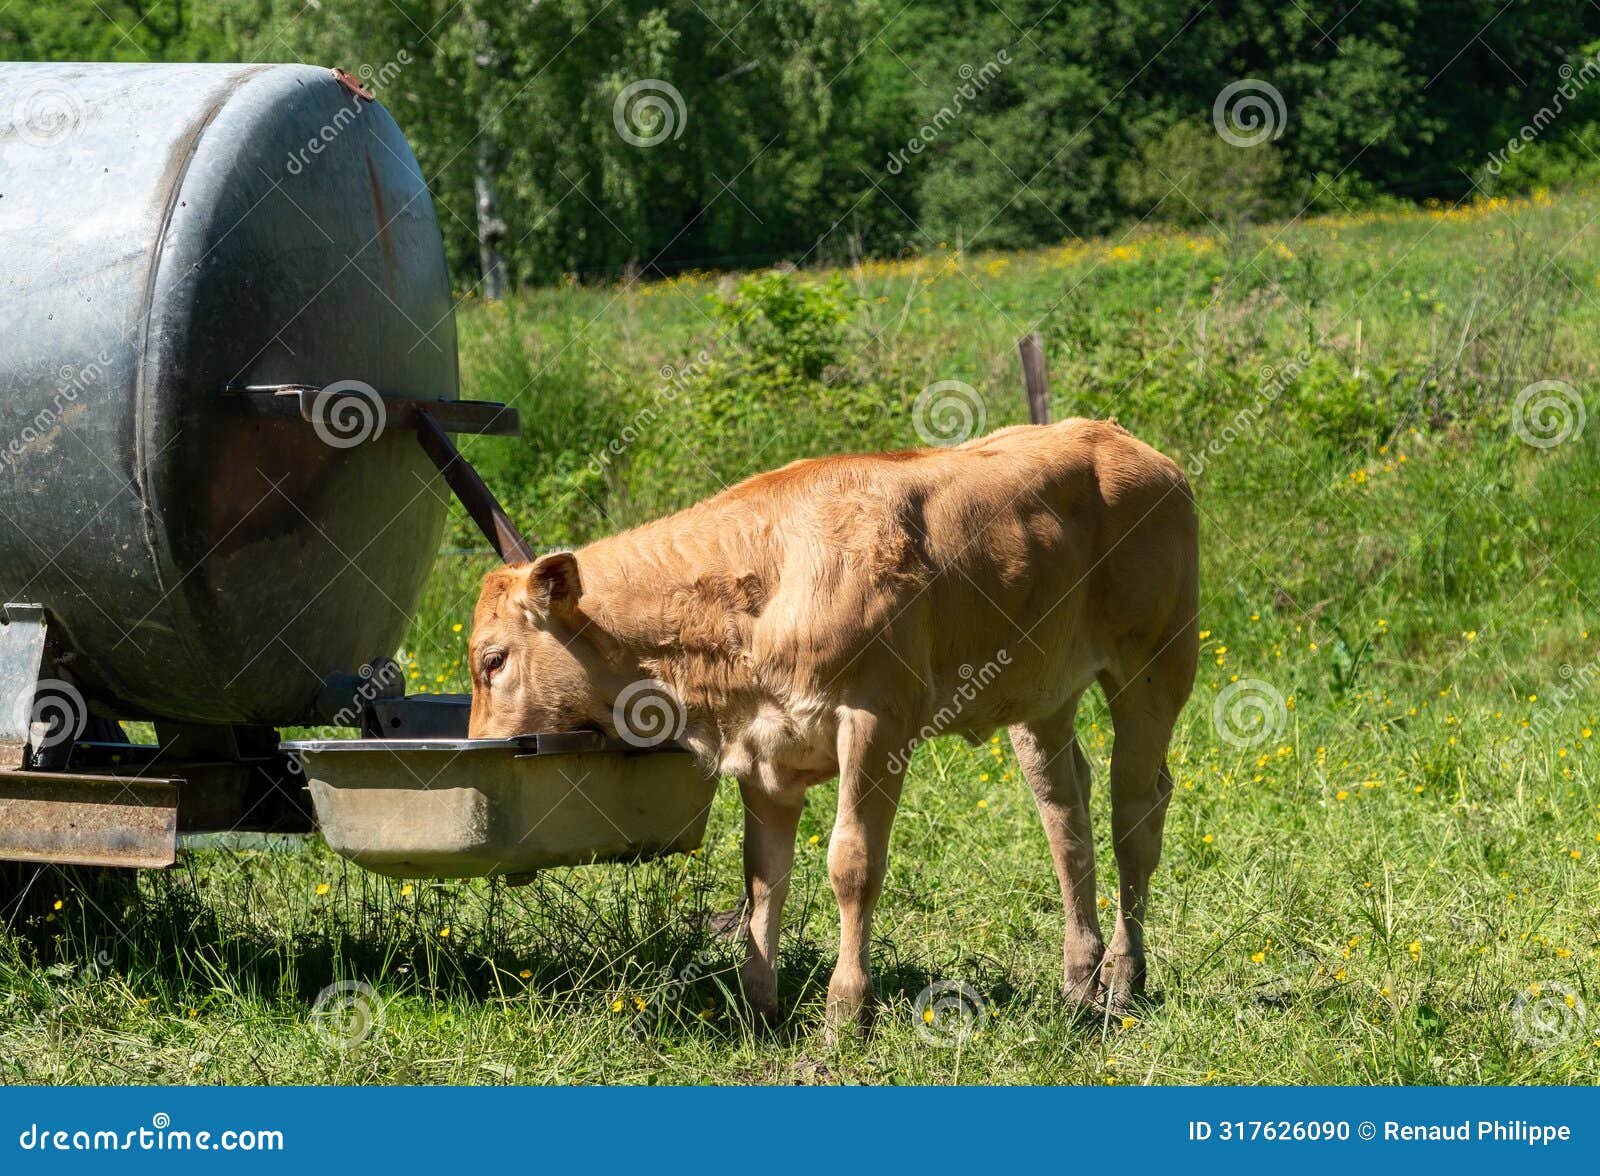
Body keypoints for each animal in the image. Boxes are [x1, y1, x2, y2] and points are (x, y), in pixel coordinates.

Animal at [467, 418, 1198, 1039]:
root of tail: (1124, 442)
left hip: (1156, 667)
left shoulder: (877, 722)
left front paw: (846, 1010)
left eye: (492, 659)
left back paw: (1125, 977)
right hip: (1042, 695)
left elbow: (852, 864)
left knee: (1136, 810)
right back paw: (1080, 980)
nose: (480, 744)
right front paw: (759, 1009)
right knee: (1064, 812)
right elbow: (763, 876)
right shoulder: (761, 749)